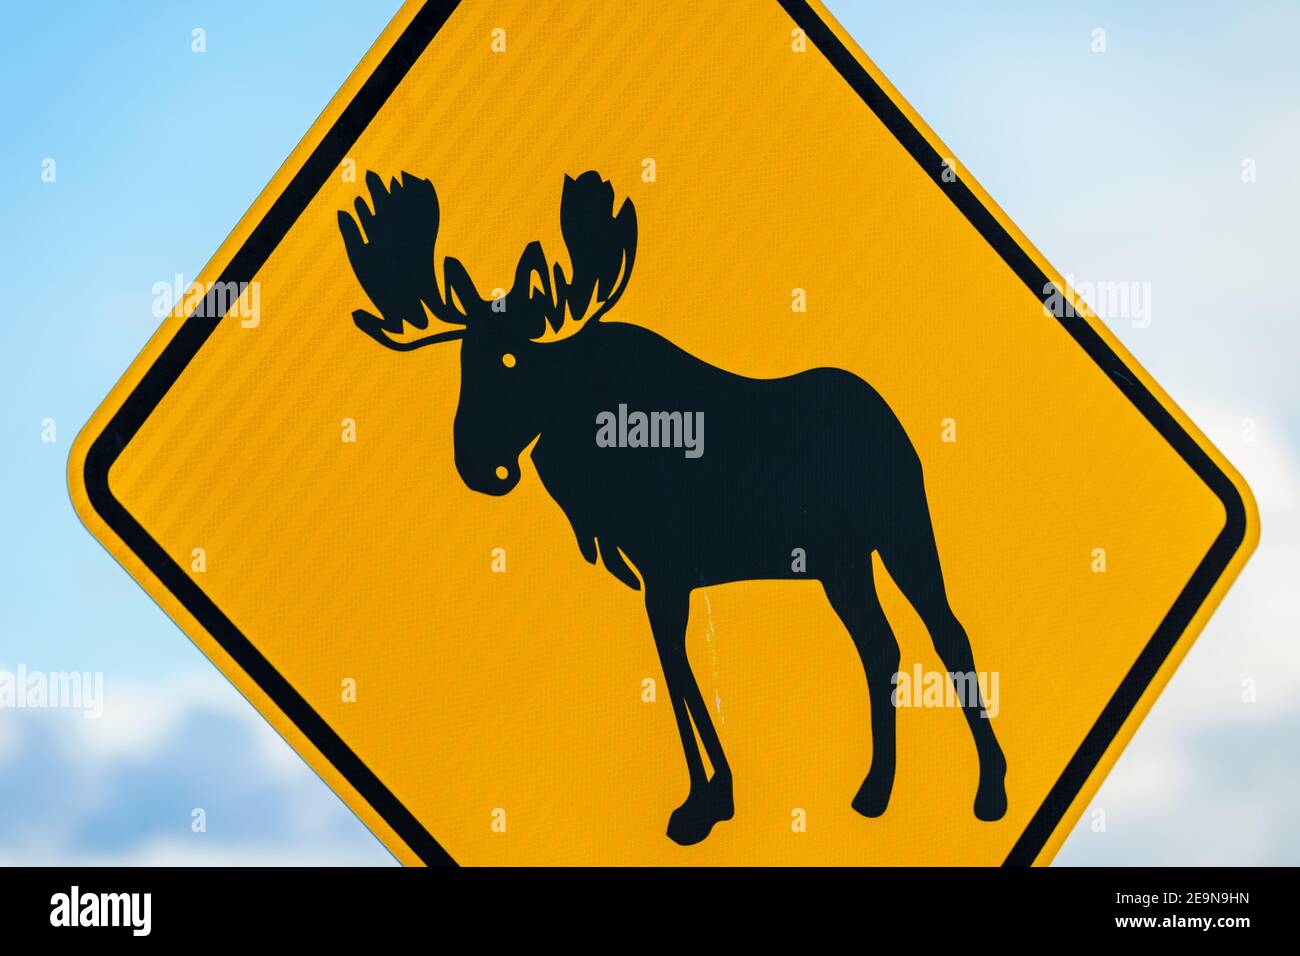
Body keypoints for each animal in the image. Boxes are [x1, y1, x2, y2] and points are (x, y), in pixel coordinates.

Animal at [338, 169, 1007, 846]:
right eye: (461, 362)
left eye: (510, 358)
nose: (475, 463)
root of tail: (892, 419)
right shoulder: (658, 576)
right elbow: (674, 669)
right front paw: (713, 796)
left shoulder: (668, 569)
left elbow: (678, 671)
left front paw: (704, 803)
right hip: (841, 562)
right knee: (882, 645)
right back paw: (877, 790)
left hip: (901, 531)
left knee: (946, 633)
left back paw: (989, 789)